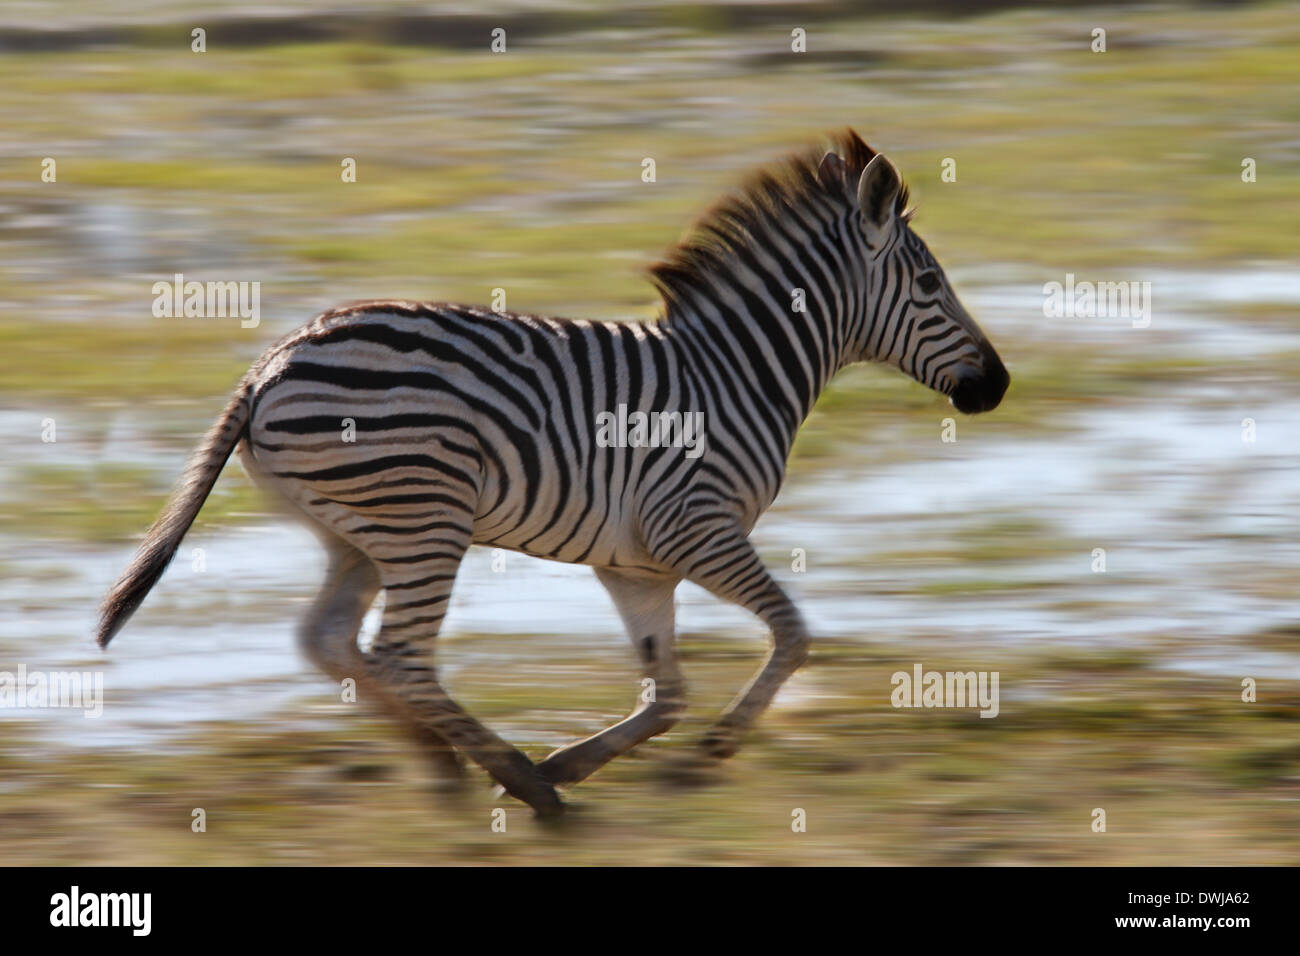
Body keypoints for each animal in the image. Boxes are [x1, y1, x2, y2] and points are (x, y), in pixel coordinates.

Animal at [97, 130, 1008, 817]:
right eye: (931, 283)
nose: (996, 386)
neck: (737, 372)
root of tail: (269, 366)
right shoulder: (697, 527)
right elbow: (792, 635)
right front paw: (704, 758)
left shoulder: (636, 564)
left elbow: (665, 695)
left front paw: (590, 760)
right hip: (425, 518)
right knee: (399, 657)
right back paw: (517, 783)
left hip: (356, 532)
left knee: (329, 641)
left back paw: (454, 768)